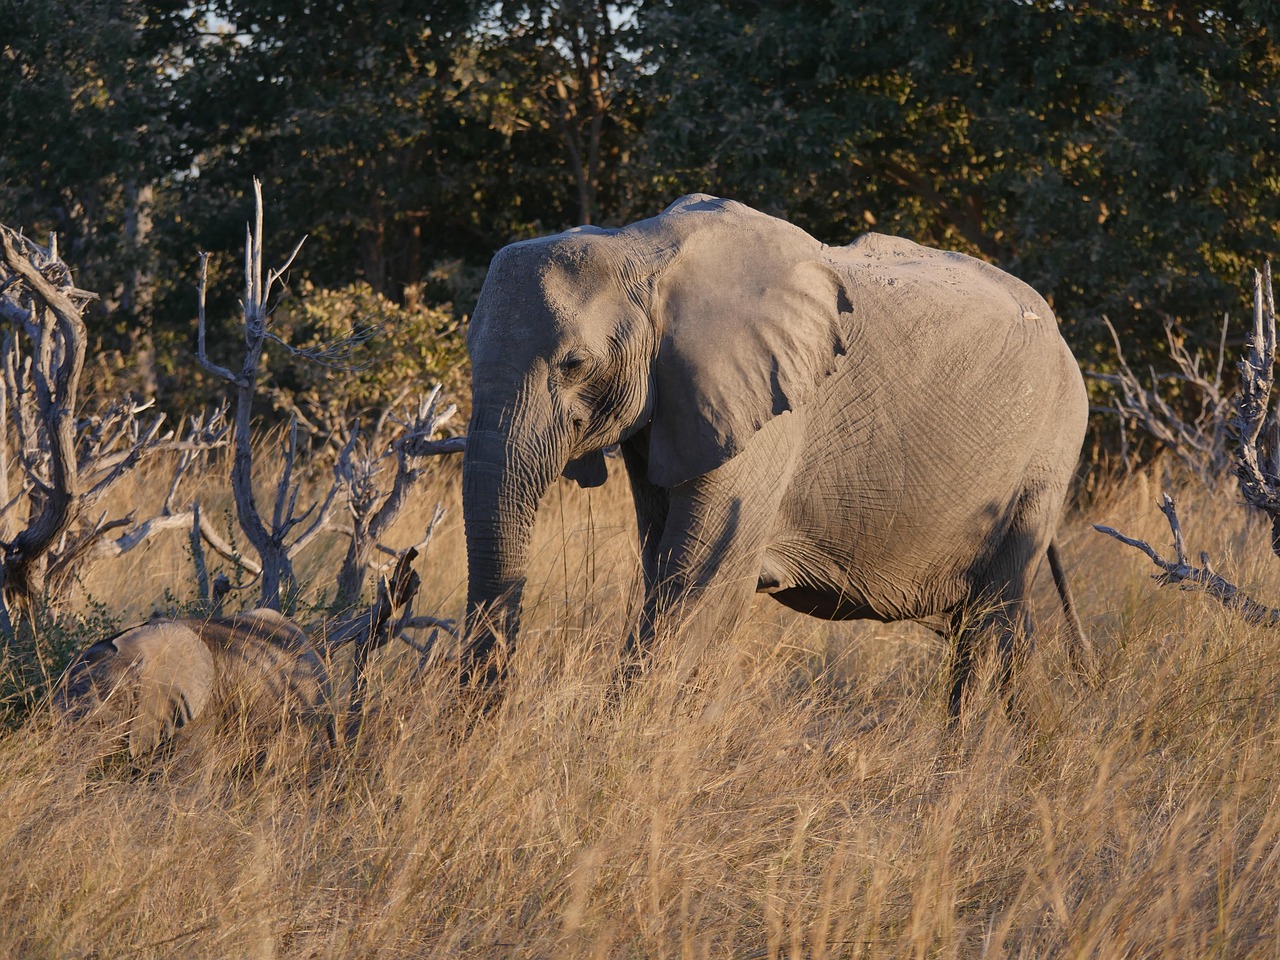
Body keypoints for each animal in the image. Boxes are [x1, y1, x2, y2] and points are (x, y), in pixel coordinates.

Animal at [462, 194, 1088, 715]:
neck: (639, 246)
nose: (481, 724)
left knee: (988, 626)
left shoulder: (771, 413)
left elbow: (702, 580)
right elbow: (664, 560)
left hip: (1049, 450)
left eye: (575, 365)